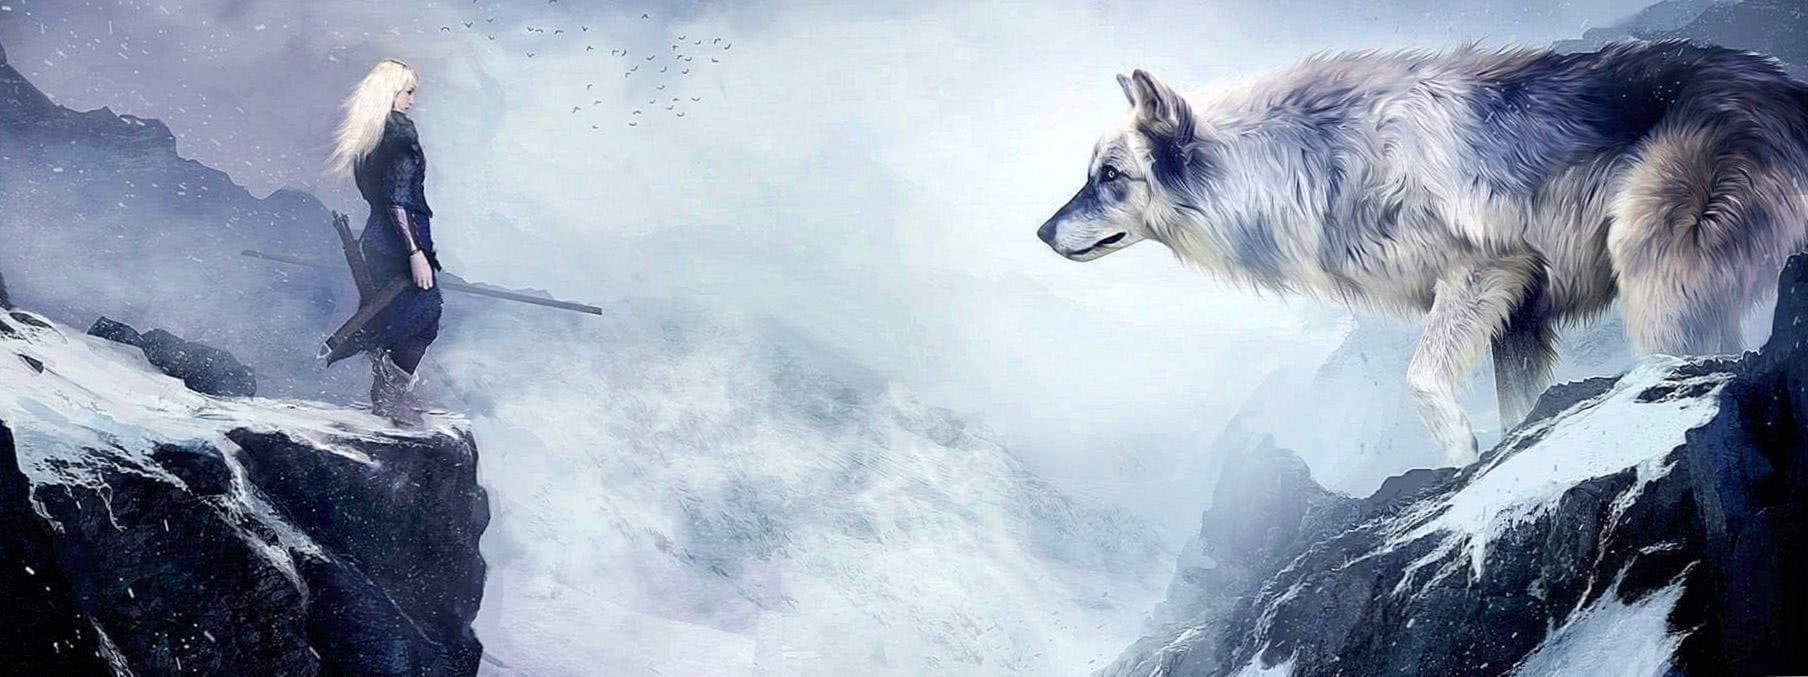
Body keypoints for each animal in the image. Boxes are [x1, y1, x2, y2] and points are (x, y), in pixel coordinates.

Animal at [1036, 40, 1808, 466]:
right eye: (1091, 172)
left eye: (1110, 175)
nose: (1042, 233)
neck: (1310, 162)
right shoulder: (1521, 316)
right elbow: (1520, 407)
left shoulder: (1485, 269)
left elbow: (1420, 378)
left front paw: (1460, 450)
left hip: (1654, 277)